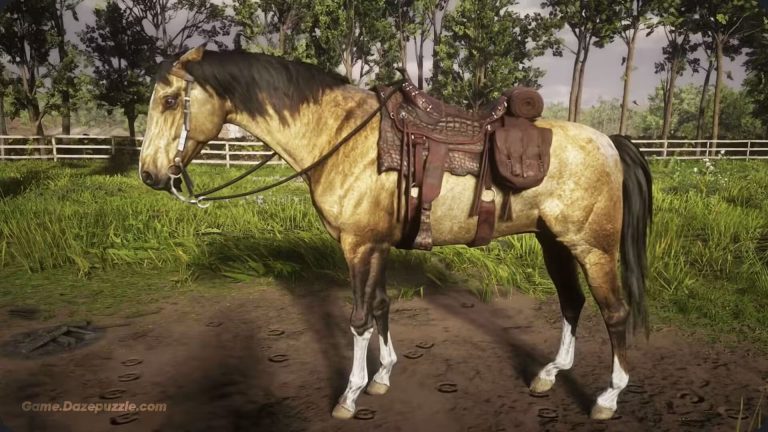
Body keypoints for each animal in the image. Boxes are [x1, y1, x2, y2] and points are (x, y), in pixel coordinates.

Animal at [138, 46, 652, 421]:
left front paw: (349, 396)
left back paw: (608, 398)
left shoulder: (359, 245)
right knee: (572, 303)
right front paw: (383, 376)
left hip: (593, 248)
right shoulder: (377, 245)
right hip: (555, 243)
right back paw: (549, 373)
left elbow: (360, 317)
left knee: (614, 313)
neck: (340, 136)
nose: (149, 174)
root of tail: (609, 141)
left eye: (170, 101)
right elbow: (382, 305)